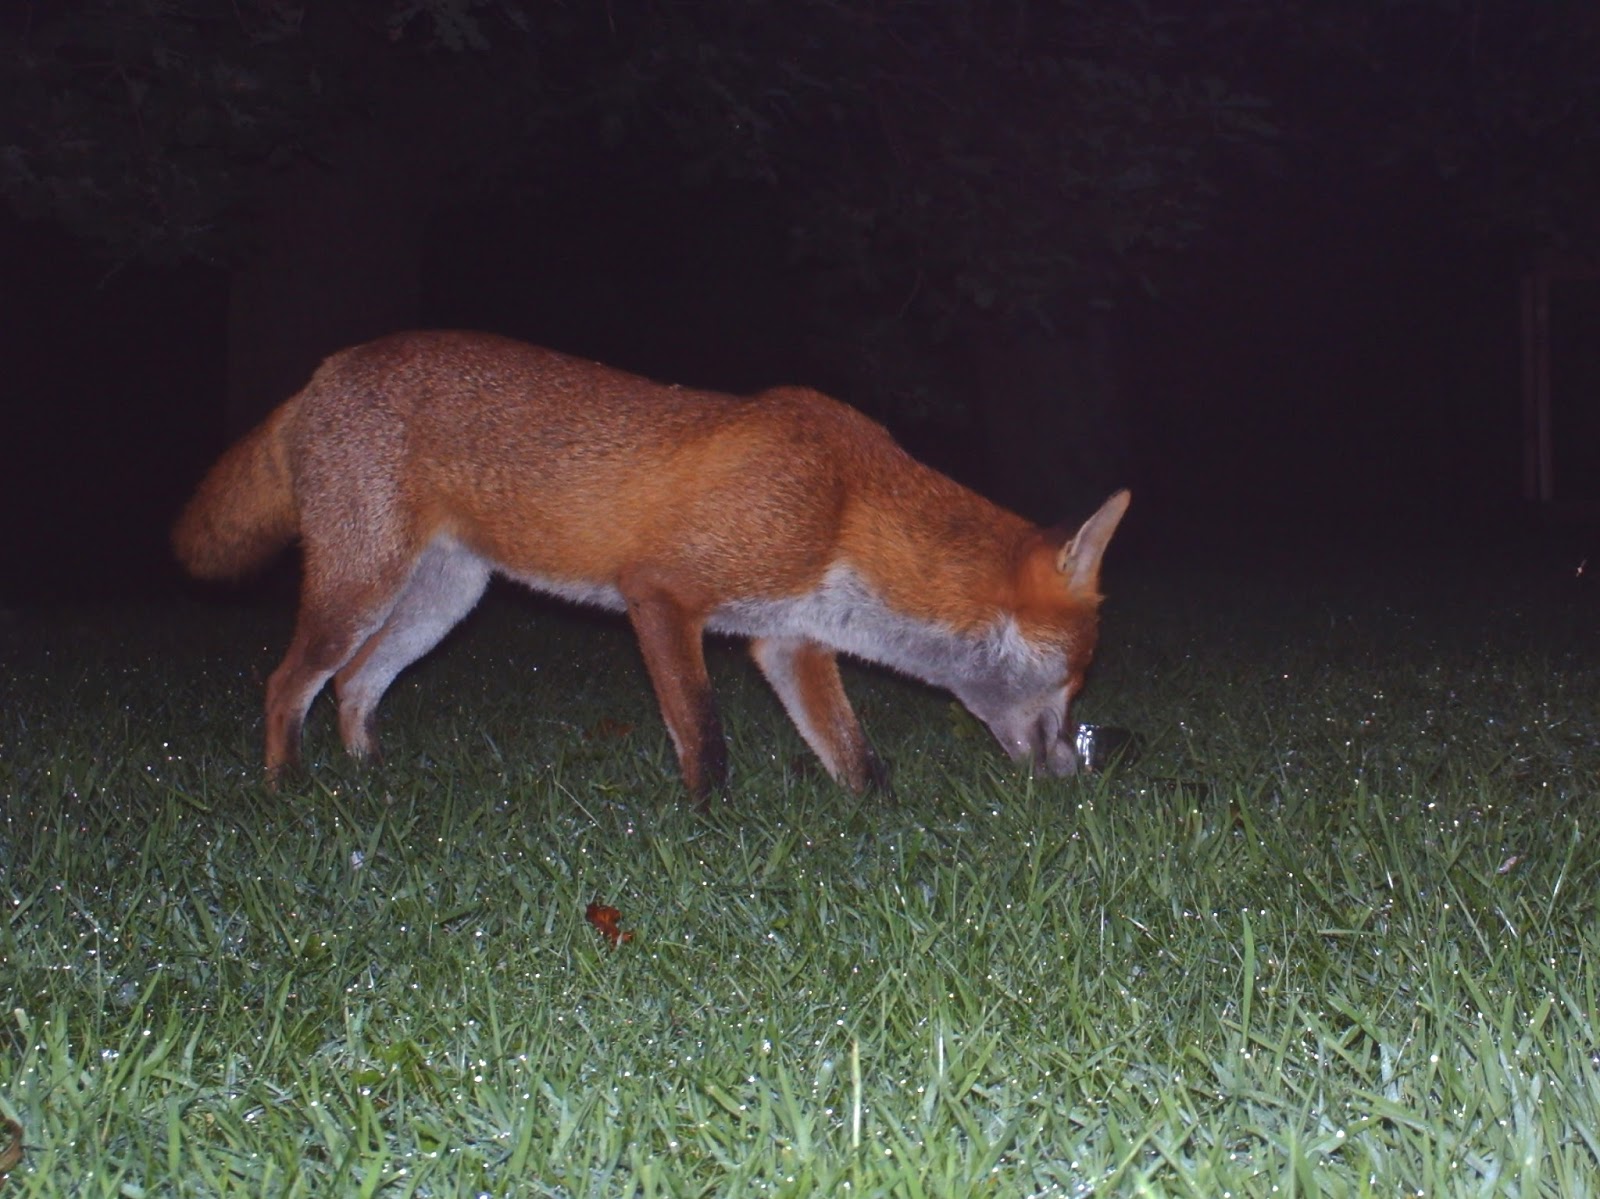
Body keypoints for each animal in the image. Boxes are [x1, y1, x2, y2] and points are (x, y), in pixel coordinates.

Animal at [173, 330, 1129, 799]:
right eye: (1075, 682)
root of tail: (326, 369)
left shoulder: (788, 639)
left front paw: (876, 820)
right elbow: (704, 735)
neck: (842, 505)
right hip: (361, 586)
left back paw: (366, 779)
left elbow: (855, 756)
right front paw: (708, 829)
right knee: (286, 683)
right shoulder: (662, 595)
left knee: (353, 684)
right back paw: (289, 792)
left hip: (440, 603)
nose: (1069, 772)